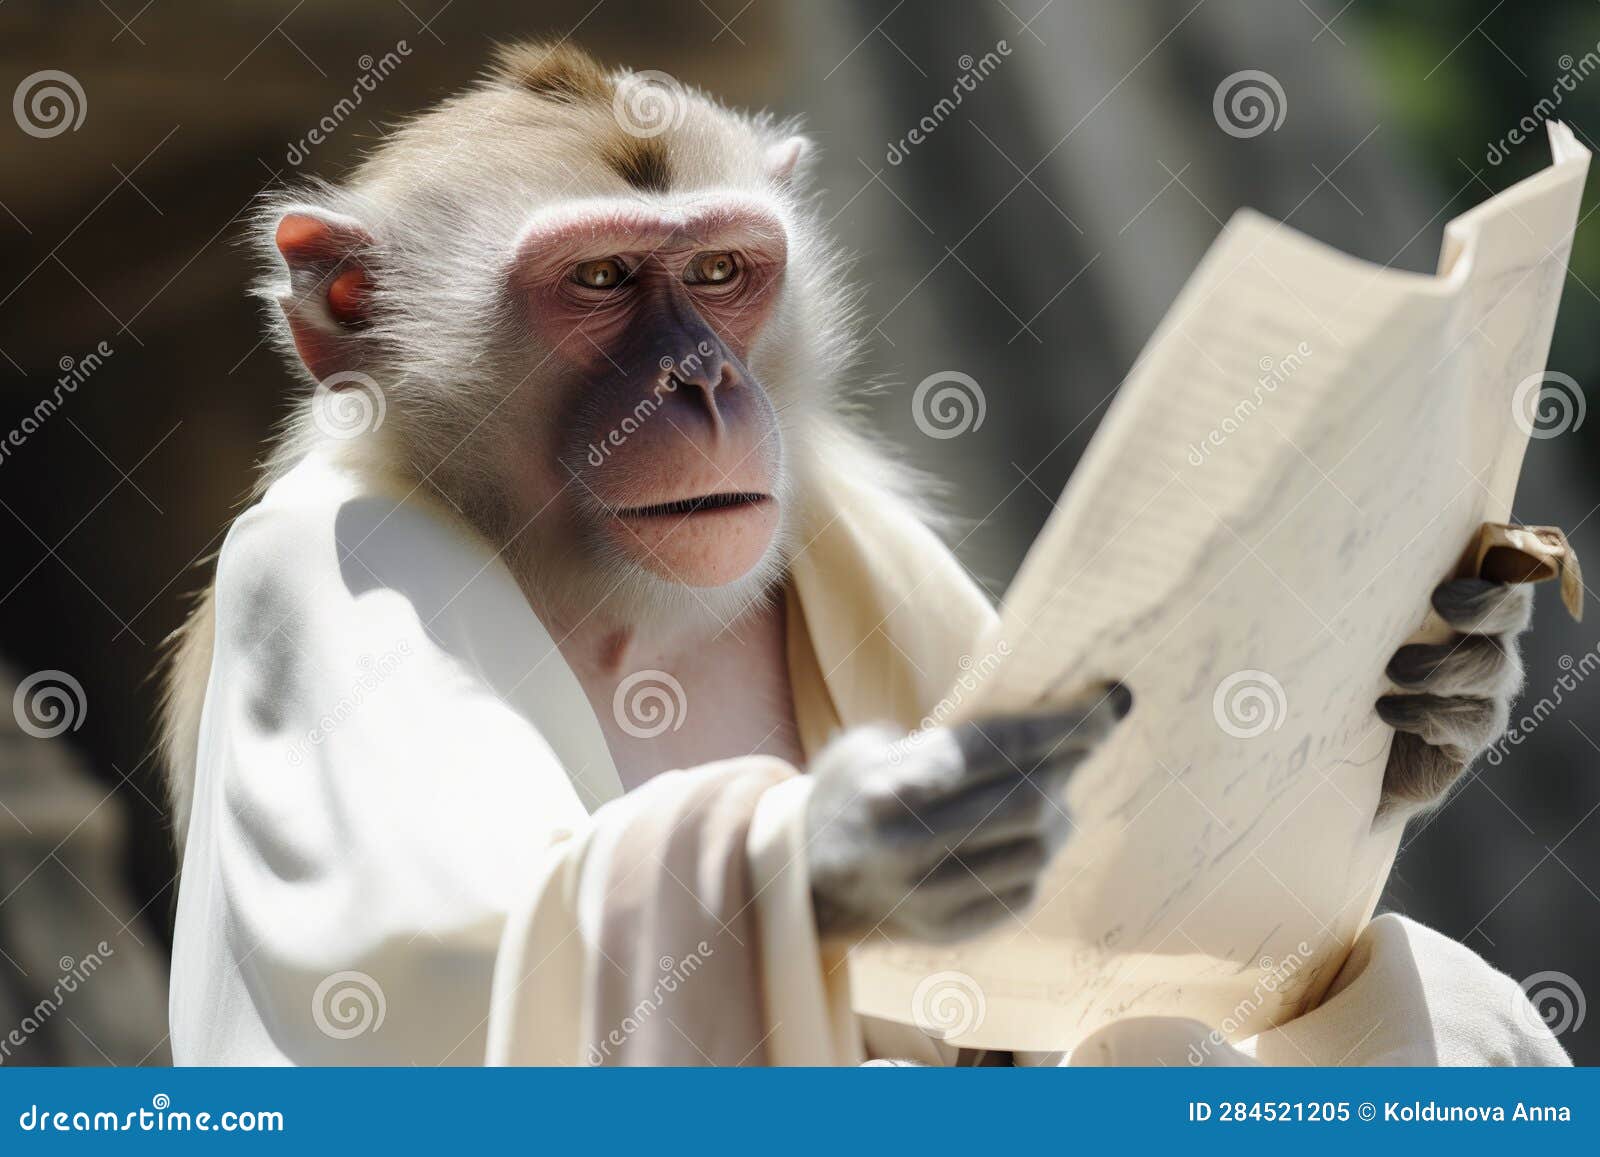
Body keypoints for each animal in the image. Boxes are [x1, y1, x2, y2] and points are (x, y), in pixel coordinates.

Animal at [158, 41, 1536, 1063]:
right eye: (599, 277)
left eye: (721, 267)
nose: (704, 381)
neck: (619, 606)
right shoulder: (324, 568)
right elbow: (454, 957)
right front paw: (844, 838)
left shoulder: (872, 535)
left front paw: (1448, 704)